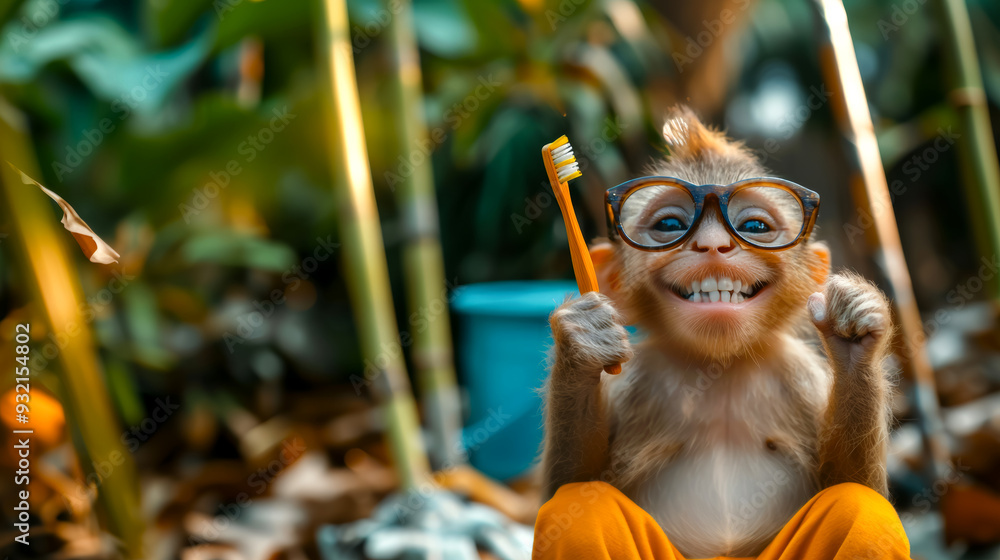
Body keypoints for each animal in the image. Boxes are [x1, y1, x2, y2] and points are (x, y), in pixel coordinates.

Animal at [540, 106, 895, 558]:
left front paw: (853, 339)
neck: (718, 367)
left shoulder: (799, 373)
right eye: (670, 224)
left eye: (756, 227)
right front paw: (581, 345)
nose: (712, 246)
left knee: (858, 503)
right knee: (582, 507)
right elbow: (571, 484)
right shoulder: (634, 378)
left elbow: (852, 481)